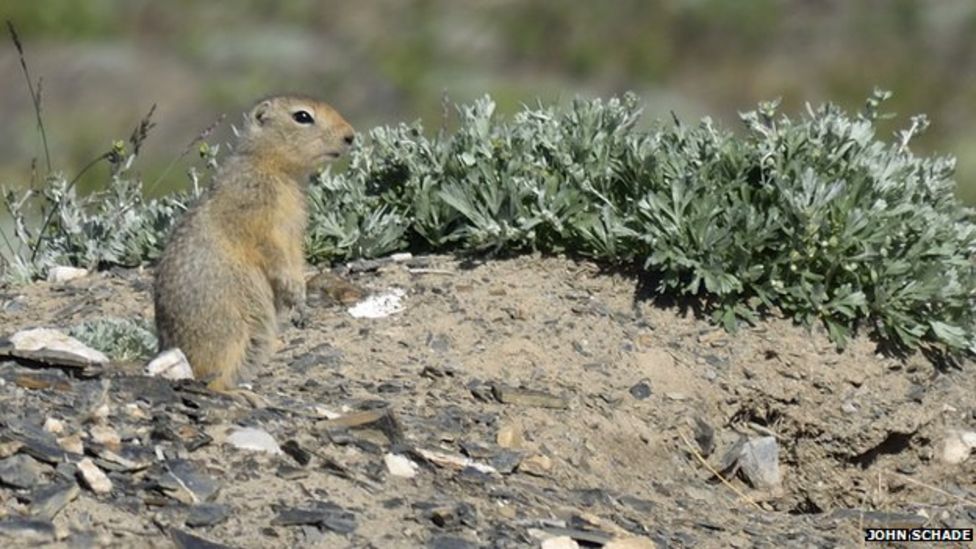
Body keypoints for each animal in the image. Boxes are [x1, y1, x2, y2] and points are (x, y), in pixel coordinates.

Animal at [153, 95, 355, 391]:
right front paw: (295, 295)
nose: (350, 136)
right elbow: (271, 251)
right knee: (209, 376)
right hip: (228, 331)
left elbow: (296, 257)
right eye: (302, 116)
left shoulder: (293, 230)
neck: (274, 168)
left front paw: (301, 303)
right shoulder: (256, 214)